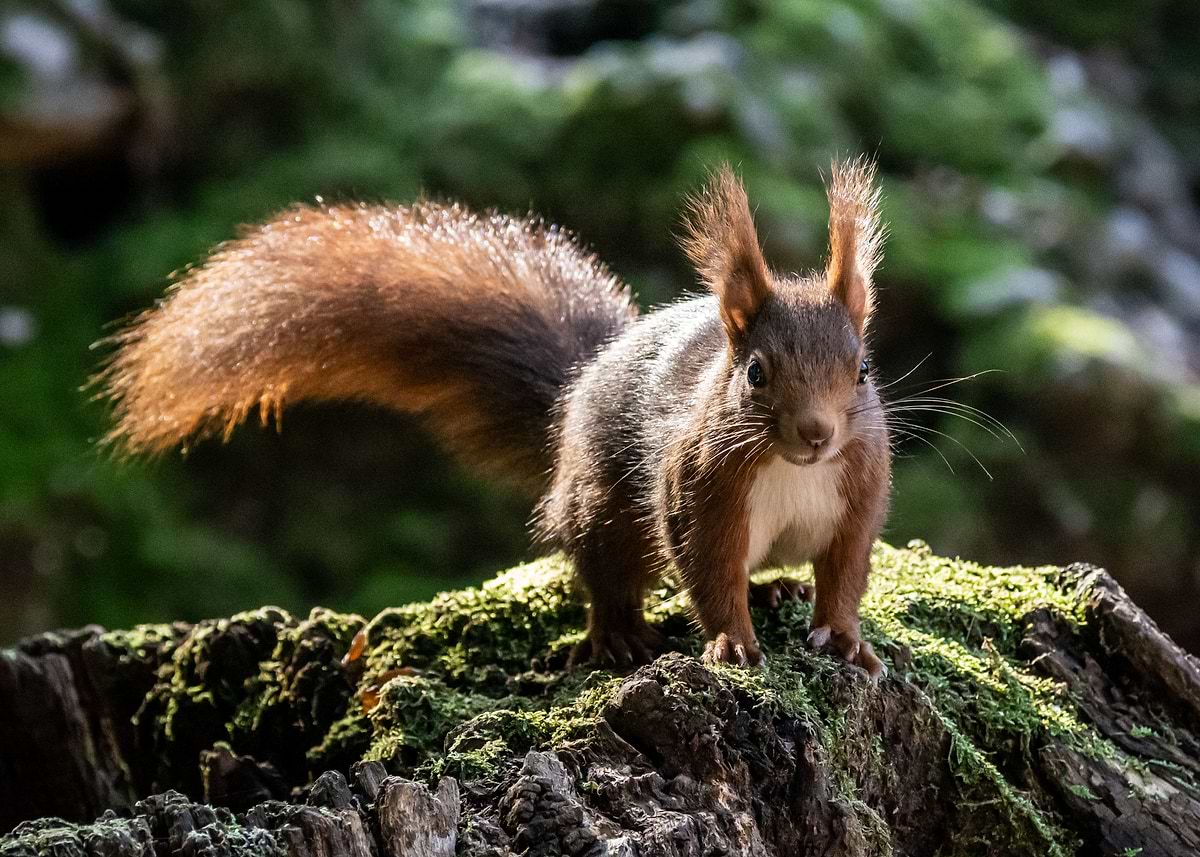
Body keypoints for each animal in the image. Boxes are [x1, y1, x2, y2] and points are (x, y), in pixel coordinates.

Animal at [98, 158, 890, 678]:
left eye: (863, 370)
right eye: (755, 373)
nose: (816, 434)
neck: (793, 469)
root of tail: (577, 387)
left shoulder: (856, 494)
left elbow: (846, 571)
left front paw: (845, 637)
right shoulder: (701, 491)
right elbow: (708, 573)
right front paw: (730, 642)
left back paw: (778, 588)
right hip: (599, 502)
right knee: (606, 567)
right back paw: (619, 633)